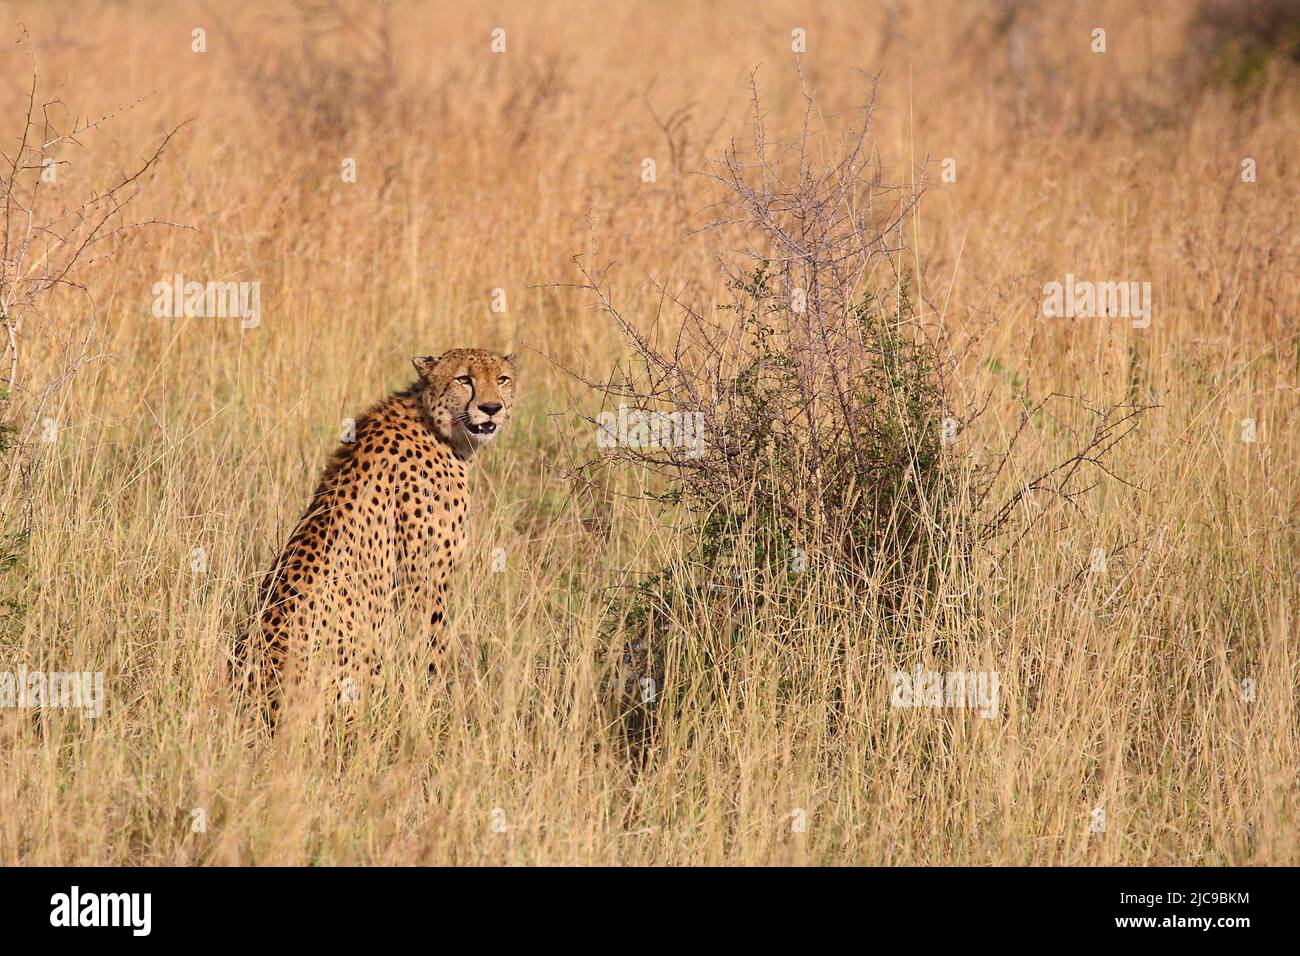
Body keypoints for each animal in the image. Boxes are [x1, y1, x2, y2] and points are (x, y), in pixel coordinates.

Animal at [233, 348, 517, 719]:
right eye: (463, 379)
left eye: (502, 378)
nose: (491, 407)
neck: (436, 425)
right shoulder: (423, 581)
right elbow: (433, 648)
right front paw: (440, 704)